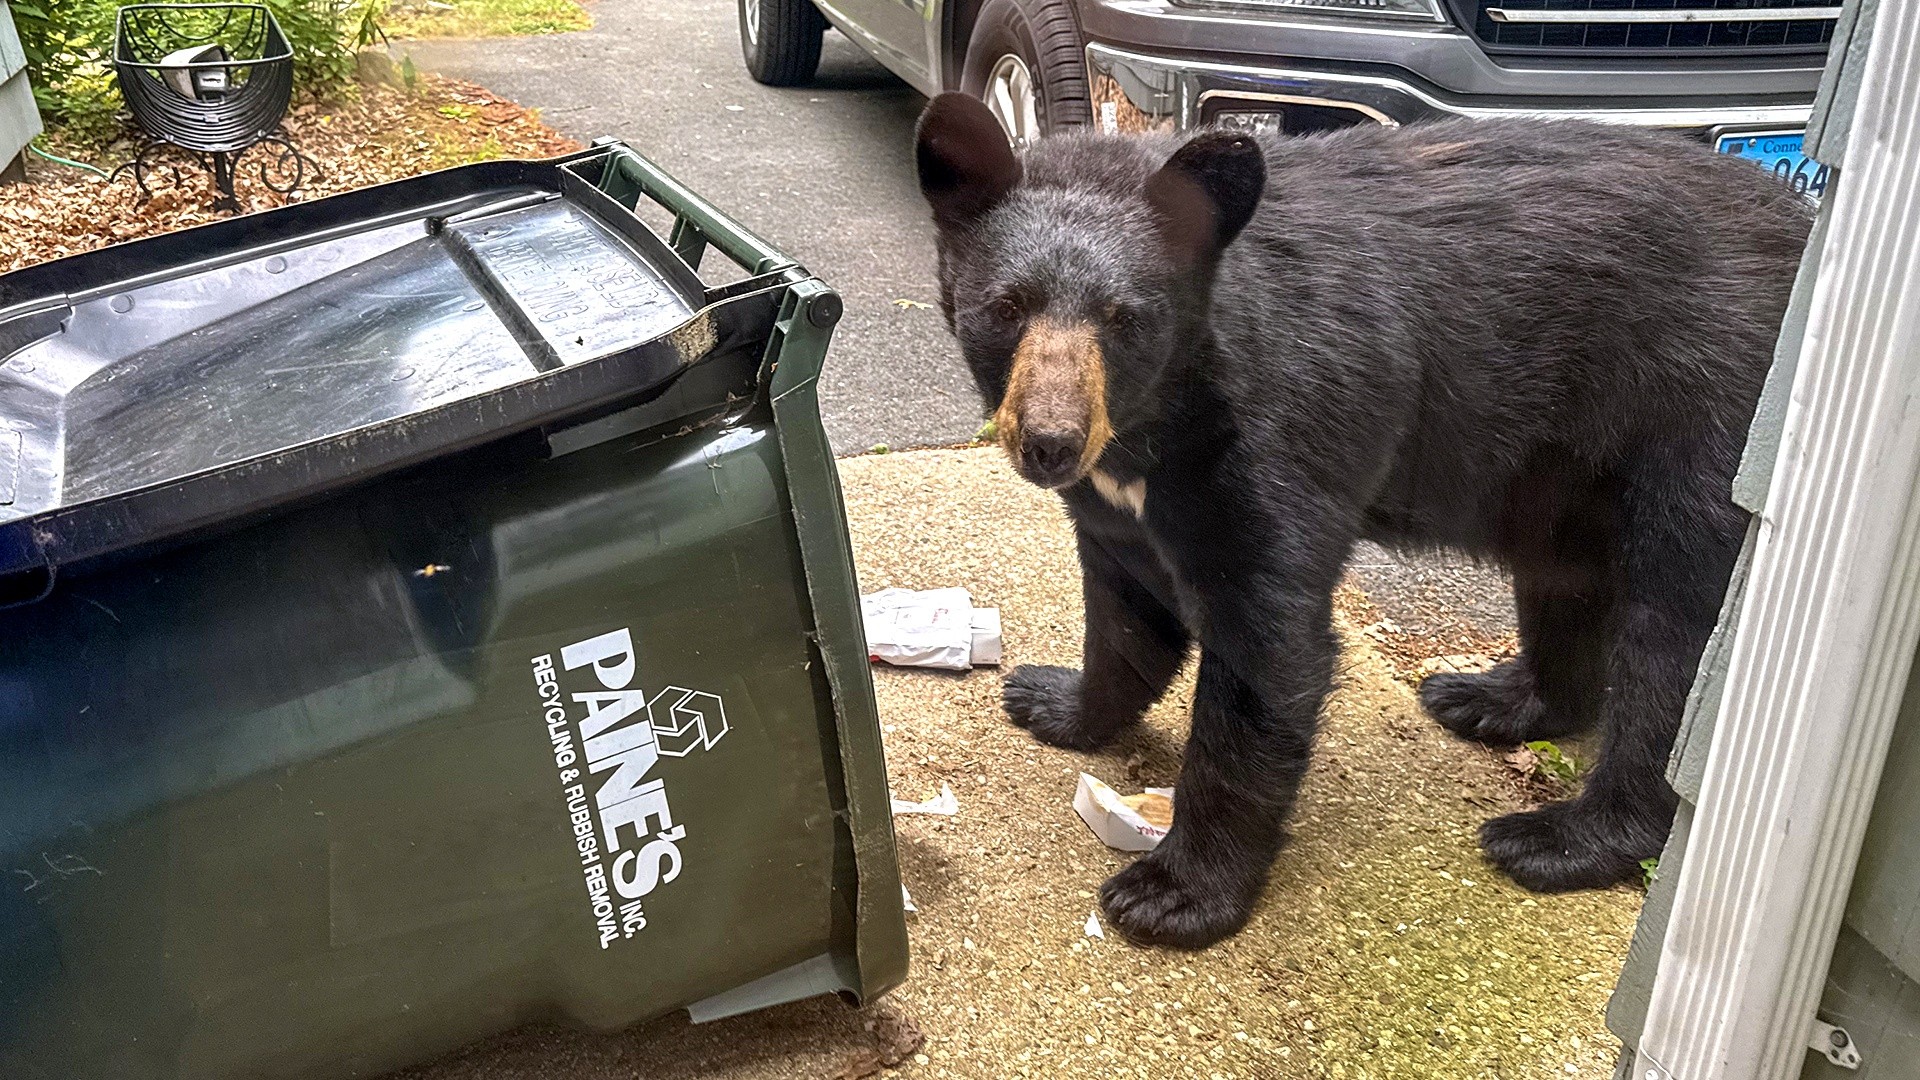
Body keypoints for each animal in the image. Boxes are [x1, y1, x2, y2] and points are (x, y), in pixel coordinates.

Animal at [913, 91, 1813, 948]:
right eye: (1007, 306)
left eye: (1124, 318)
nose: (1052, 443)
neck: (1156, 422)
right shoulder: (1121, 498)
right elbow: (1127, 607)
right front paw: (1054, 702)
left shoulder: (1280, 427)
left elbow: (1267, 646)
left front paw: (1175, 893)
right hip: (1560, 469)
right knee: (1564, 576)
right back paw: (1494, 699)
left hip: (1706, 412)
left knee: (1674, 647)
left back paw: (1561, 837)